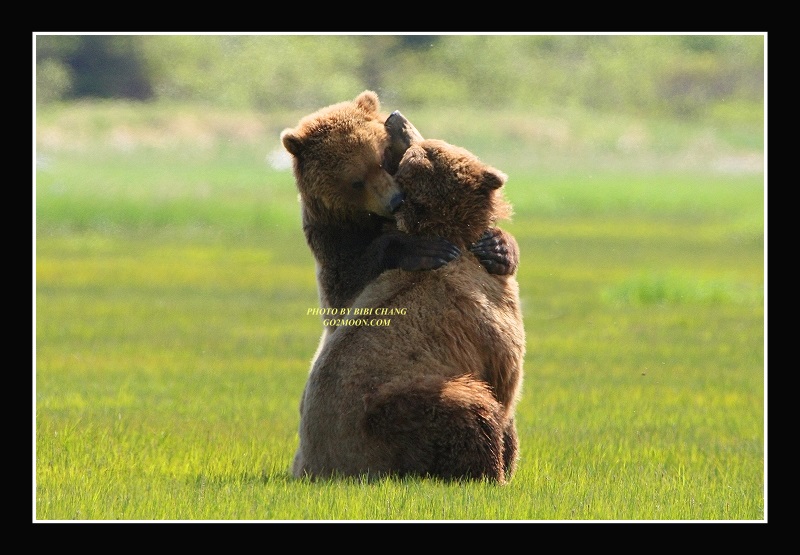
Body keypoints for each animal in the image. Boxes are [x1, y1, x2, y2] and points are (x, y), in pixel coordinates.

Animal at [279, 91, 520, 324]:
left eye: (383, 159)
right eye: (356, 182)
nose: (395, 201)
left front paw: (497, 247)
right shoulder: (332, 235)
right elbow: (346, 282)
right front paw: (426, 249)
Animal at [291, 138, 526, 483]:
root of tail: (319, 469)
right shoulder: (485, 313)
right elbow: (505, 383)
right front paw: (507, 459)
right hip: (384, 412)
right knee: (464, 408)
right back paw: (488, 472)